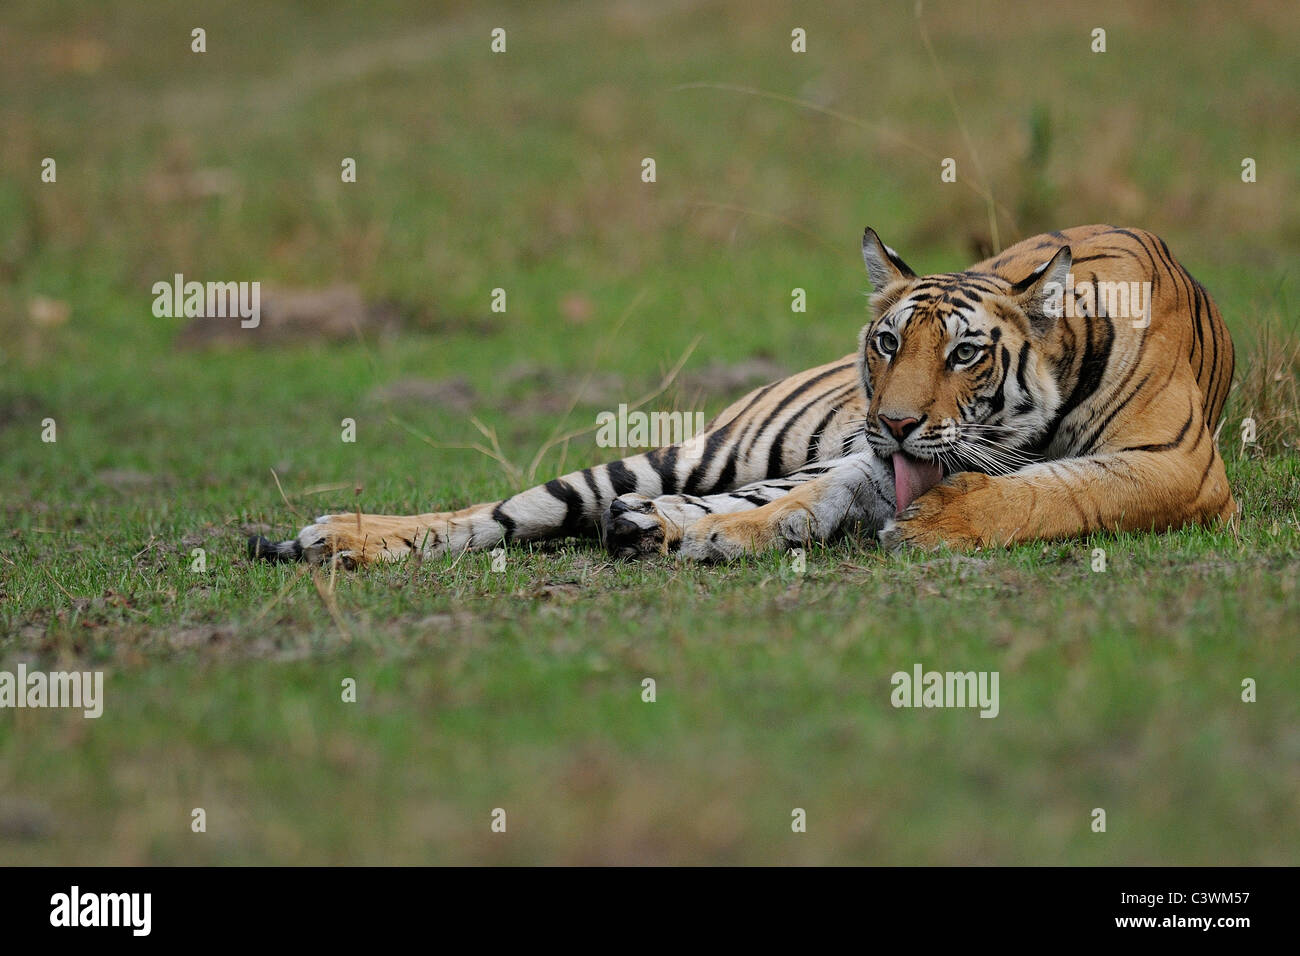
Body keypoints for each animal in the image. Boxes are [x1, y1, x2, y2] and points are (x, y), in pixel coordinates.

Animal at [249, 224, 1236, 566]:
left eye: (964, 354)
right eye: (888, 343)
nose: (893, 421)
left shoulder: (1179, 467)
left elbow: (1056, 491)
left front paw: (943, 519)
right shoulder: (872, 461)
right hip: (701, 448)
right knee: (505, 511)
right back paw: (334, 537)